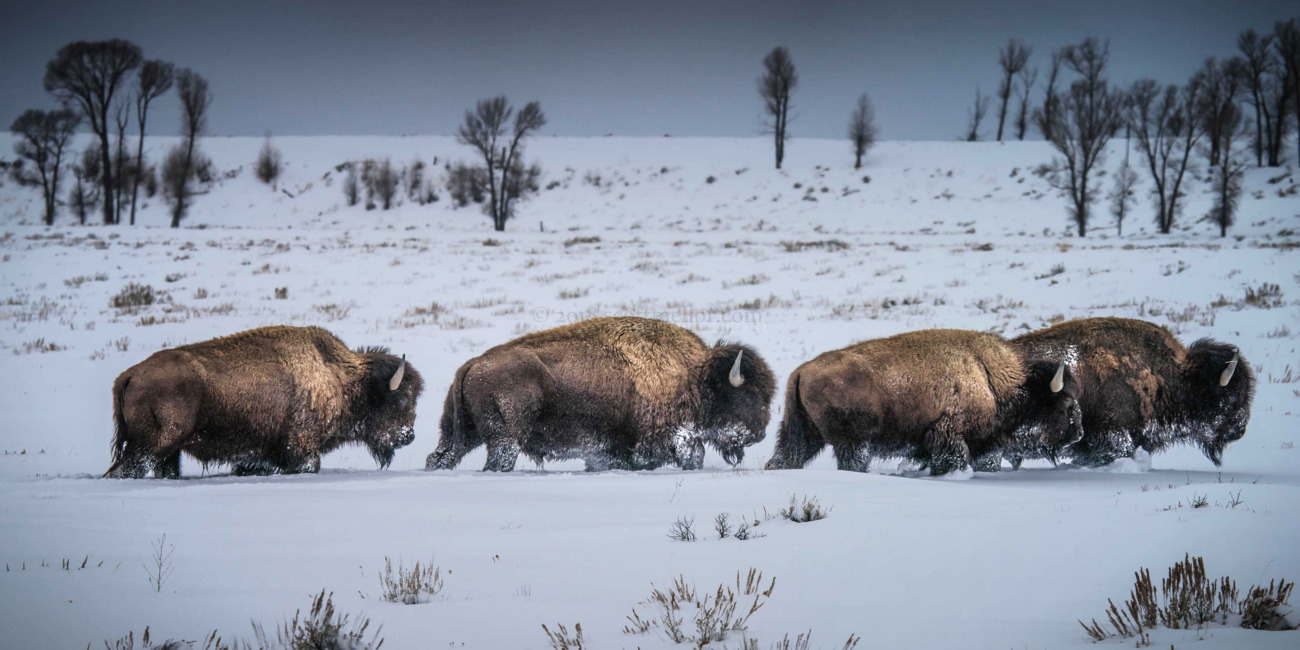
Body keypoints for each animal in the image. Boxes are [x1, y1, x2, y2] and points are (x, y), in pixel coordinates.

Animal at [104, 326, 423, 478]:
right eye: (403, 399)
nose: (408, 436)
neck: (340, 377)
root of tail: (127, 376)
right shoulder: (302, 449)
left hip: (168, 452)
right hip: (150, 446)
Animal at [425, 316, 776, 472]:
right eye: (748, 397)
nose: (759, 434)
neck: (695, 377)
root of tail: (472, 363)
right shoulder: (677, 438)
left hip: (461, 433)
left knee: (441, 456)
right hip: (505, 439)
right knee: (498, 460)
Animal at [764, 329, 1083, 476]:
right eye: (1066, 402)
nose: (1078, 433)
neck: (990, 377)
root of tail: (801, 371)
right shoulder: (949, 434)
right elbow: (952, 457)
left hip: (802, 434)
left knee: (787, 457)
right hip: (854, 441)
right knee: (852, 461)